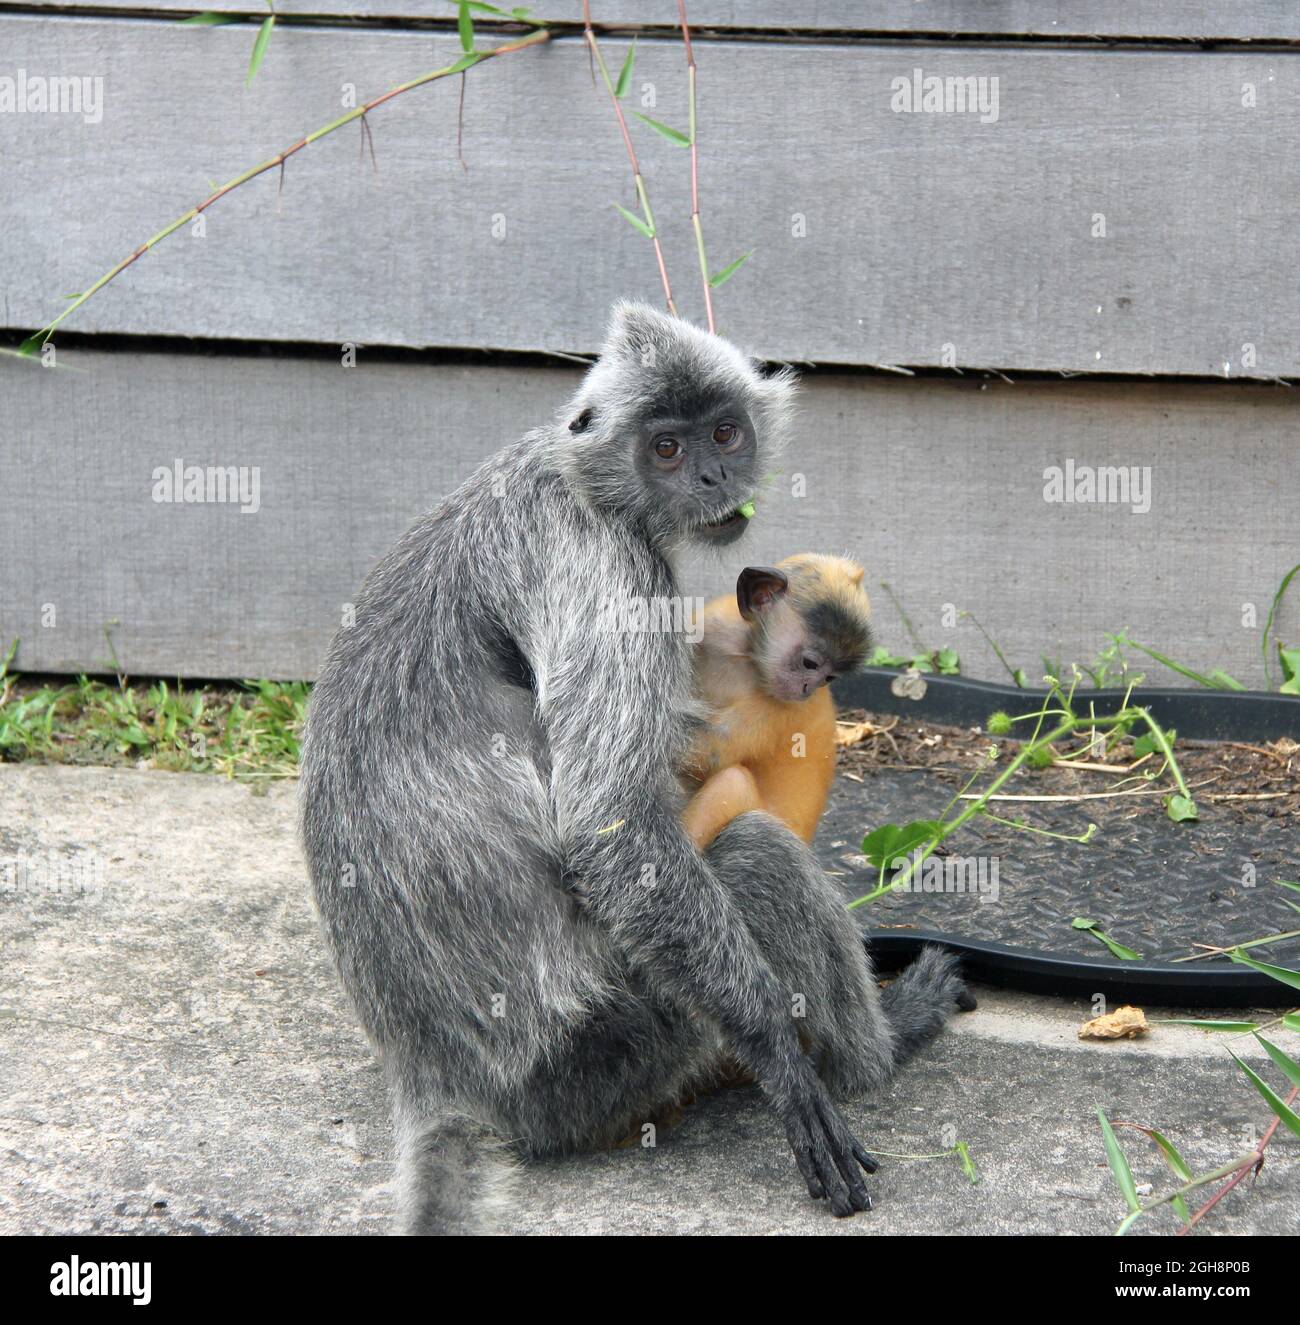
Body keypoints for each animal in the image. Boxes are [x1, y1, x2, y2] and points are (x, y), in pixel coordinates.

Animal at [681, 554, 873, 851]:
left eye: (828, 678)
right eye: (810, 664)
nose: (807, 689)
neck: (746, 656)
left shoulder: (781, 705)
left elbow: (712, 752)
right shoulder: (714, 625)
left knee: (733, 782)